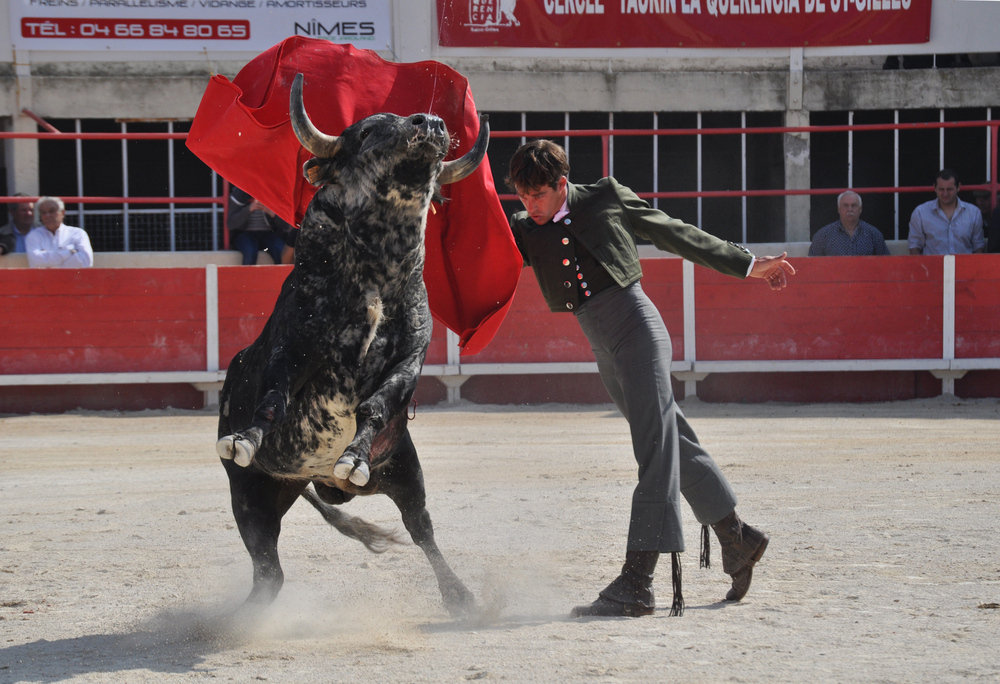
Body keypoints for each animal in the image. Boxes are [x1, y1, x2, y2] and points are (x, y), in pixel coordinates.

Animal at [215, 73, 488, 616]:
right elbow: (274, 399)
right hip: (251, 493)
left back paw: (460, 595)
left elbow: (377, 405)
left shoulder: (409, 360)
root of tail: (321, 482)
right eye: (368, 129)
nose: (432, 122)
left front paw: (355, 455)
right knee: (267, 565)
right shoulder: (293, 347)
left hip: (404, 471)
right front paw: (246, 437)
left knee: (421, 530)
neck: (377, 270)